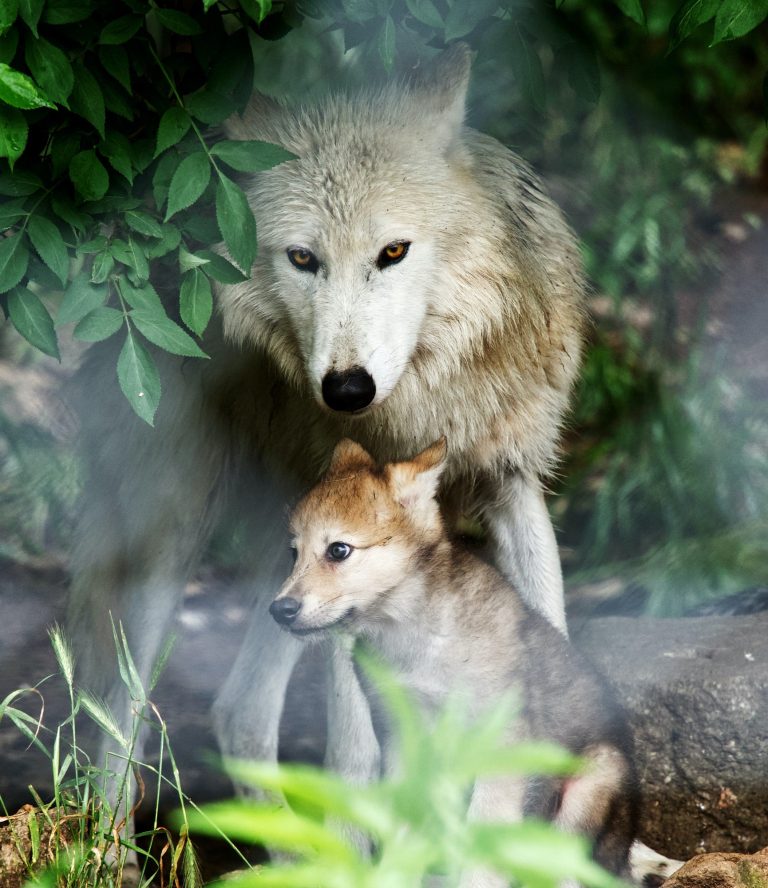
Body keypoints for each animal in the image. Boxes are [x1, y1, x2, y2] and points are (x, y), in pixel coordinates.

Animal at [65, 43, 586, 841]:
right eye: (302, 258)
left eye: (394, 251)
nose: (345, 389)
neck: (419, 411)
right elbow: (358, 753)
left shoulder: (511, 486)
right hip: (174, 534)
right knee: (122, 711)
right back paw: (113, 847)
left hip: (277, 566)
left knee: (240, 714)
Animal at [270, 437, 638, 886]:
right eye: (294, 553)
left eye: (338, 550)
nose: (280, 610)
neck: (414, 638)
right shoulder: (405, 737)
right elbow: (404, 831)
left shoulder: (500, 742)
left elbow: (484, 839)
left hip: (591, 785)